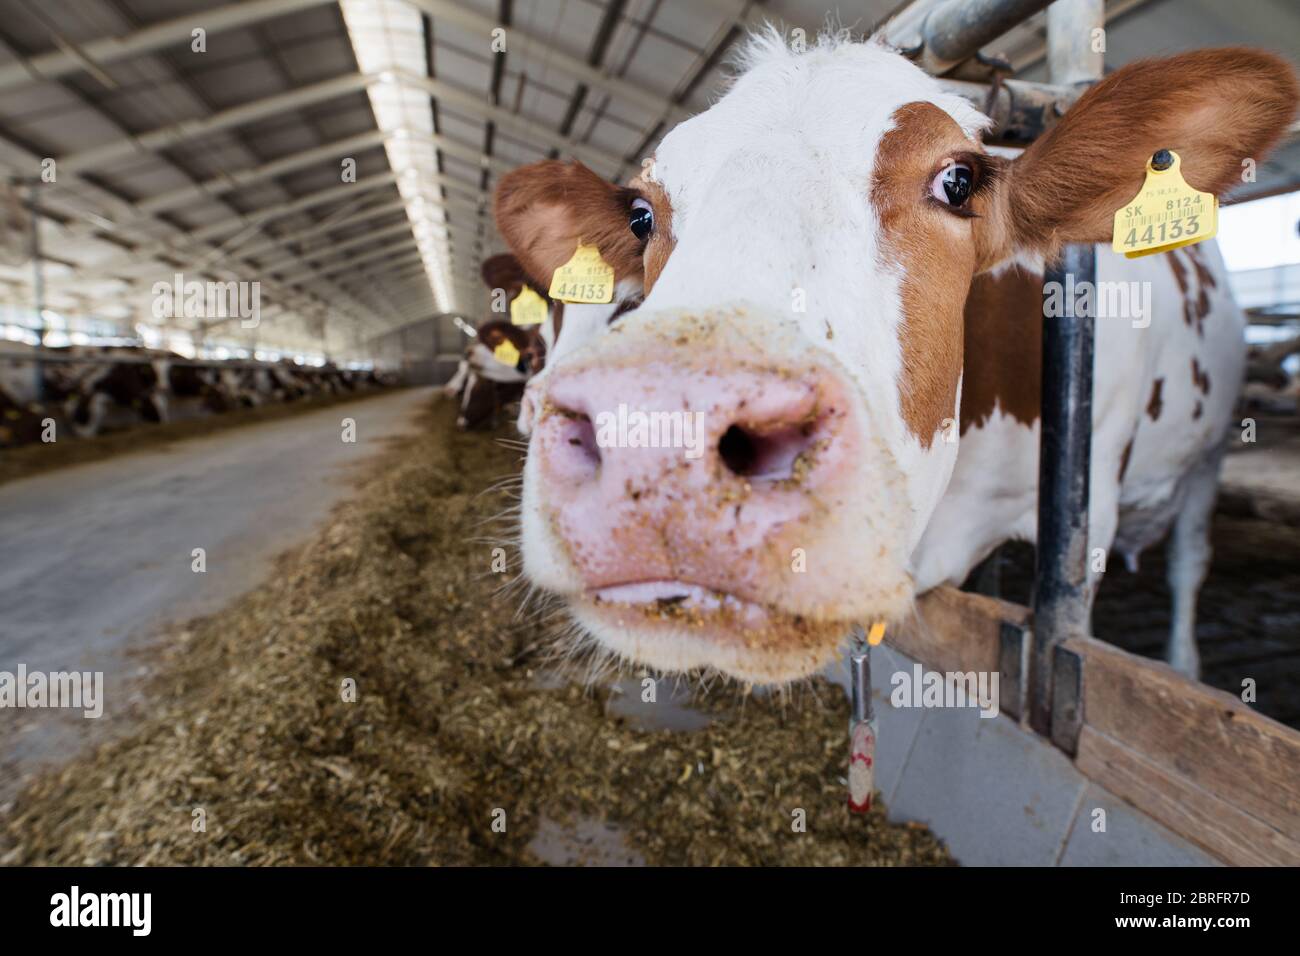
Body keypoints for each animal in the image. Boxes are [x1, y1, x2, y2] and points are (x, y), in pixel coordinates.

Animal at [490, 32, 1298, 684]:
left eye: (958, 181)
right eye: (640, 213)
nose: (660, 446)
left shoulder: (1087, 513)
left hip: (1208, 453)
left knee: (1191, 562)